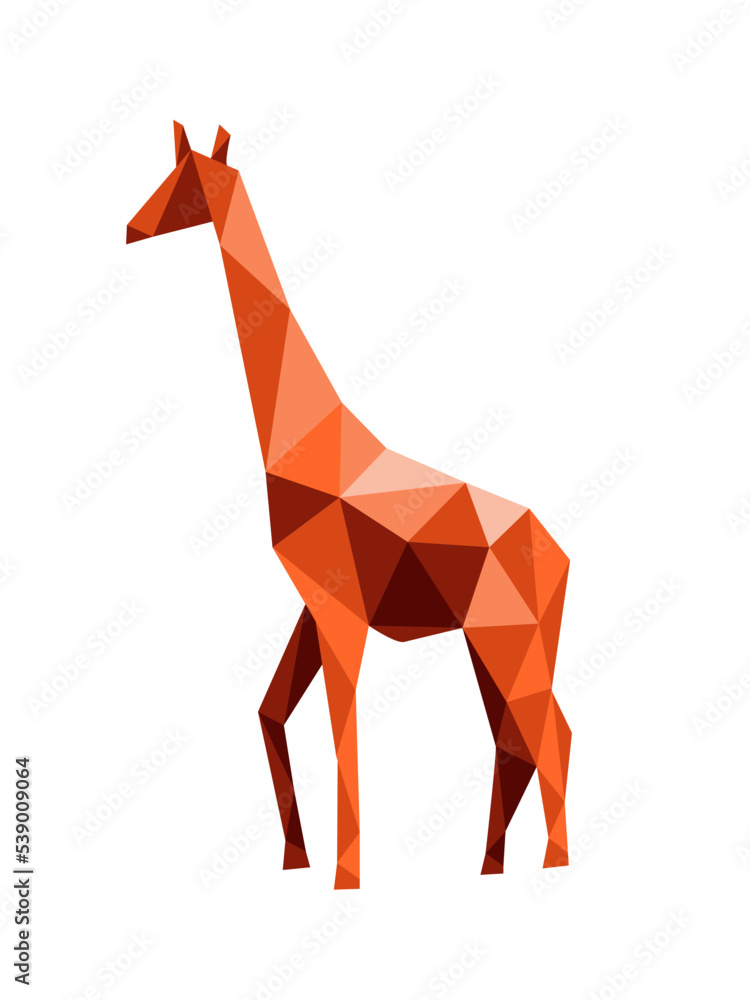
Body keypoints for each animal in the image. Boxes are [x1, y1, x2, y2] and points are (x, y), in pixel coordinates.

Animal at [127, 122, 572, 890]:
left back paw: (554, 867)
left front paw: (346, 877)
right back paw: (491, 869)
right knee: (517, 741)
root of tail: (563, 556)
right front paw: (295, 860)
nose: (130, 228)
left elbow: (343, 728)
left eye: (181, 181)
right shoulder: (311, 603)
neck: (305, 440)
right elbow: (271, 712)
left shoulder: (342, 610)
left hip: (512, 640)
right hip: (496, 645)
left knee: (551, 735)